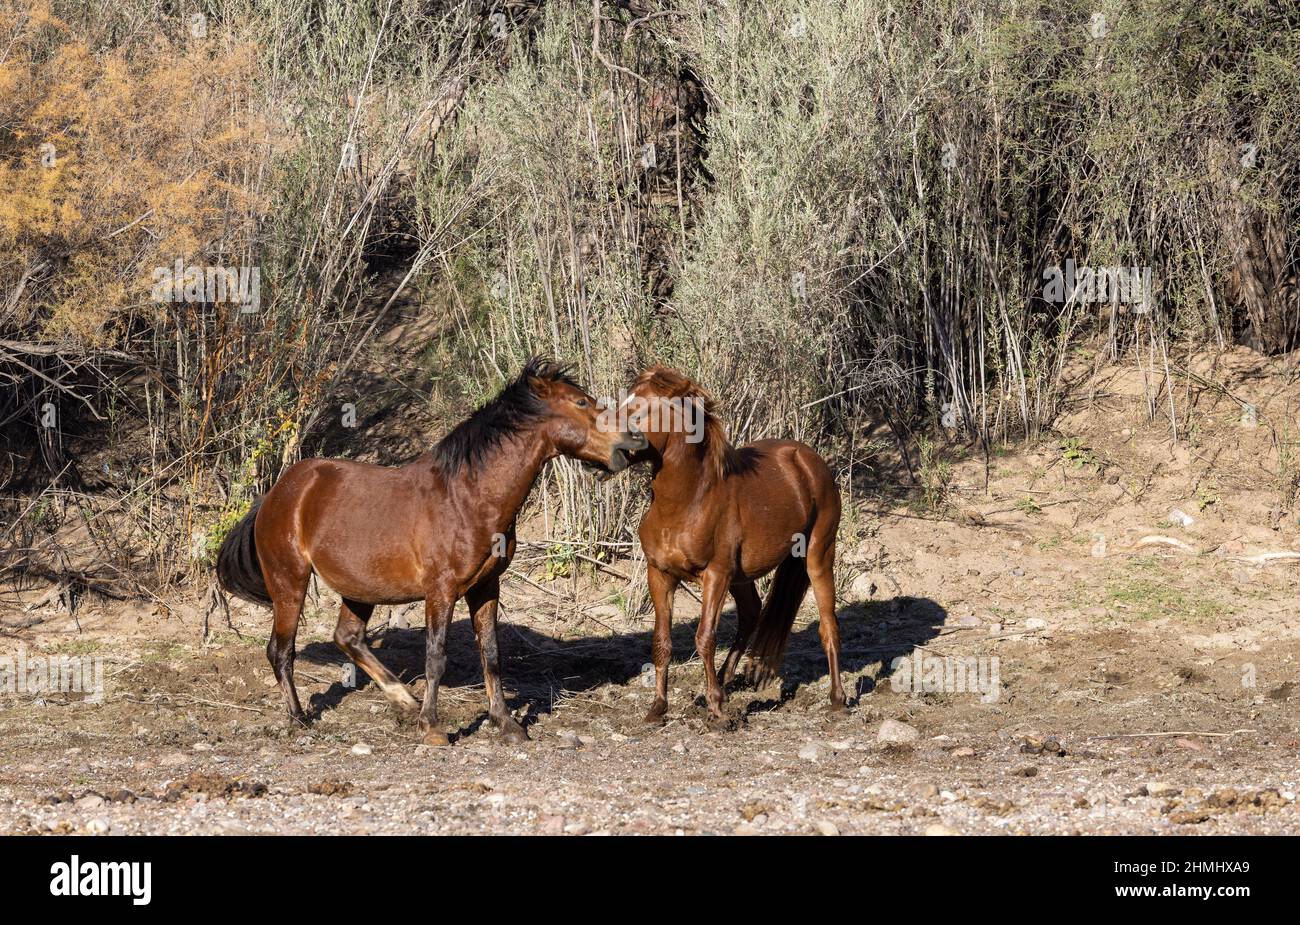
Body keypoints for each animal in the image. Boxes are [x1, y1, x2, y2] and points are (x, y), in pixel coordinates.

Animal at [216, 358, 646, 745]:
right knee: (281, 650)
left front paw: (506, 724)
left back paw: (404, 702)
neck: (467, 497)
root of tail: (277, 494)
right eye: (581, 402)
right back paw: (299, 719)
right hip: (290, 582)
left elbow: (491, 654)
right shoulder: (441, 590)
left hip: (360, 588)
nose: (635, 439)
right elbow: (436, 657)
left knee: (348, 637)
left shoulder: (486, 587)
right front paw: (434, 728)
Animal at [617, 366, 845, 726]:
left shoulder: (716, 575)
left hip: (818, 556)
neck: (686, 503)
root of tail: (809, 460)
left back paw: (838, 699)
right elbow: (661, 642)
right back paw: (724, 682)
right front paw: (658, 708)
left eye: (640, 410)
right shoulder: (661, 575)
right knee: (752, 613)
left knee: (828, 626)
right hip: (742, 576)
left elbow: (705, 638)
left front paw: (717, 711)